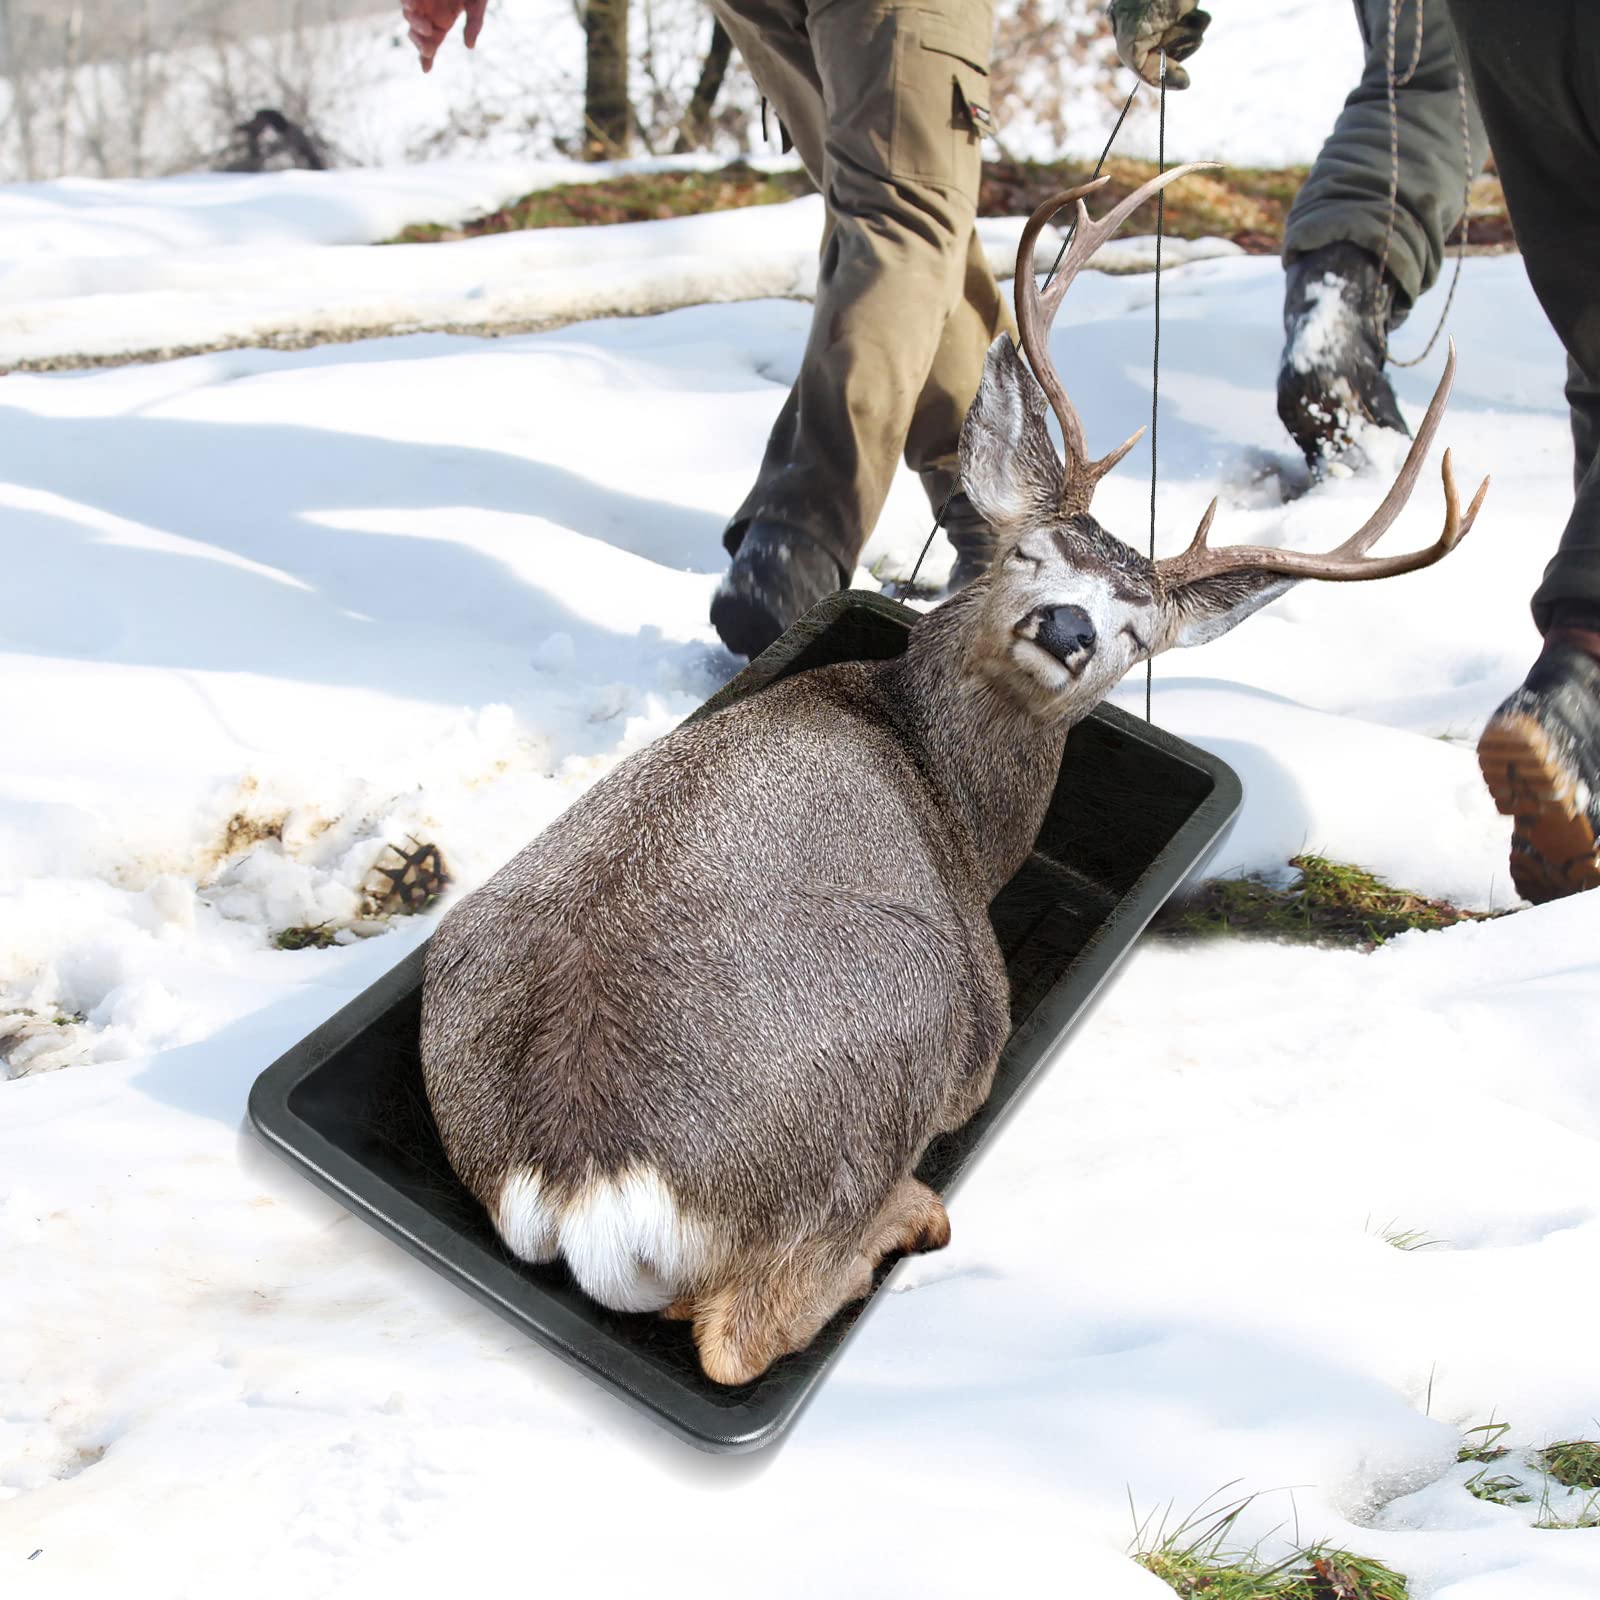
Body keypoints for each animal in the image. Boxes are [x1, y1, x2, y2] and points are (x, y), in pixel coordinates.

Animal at [419, 164, 1488, 1387]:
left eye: (1140, 637)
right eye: (1027, 552)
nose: (1069, 626)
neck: (953, 800)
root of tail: (573, 1178)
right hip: (910, 1041)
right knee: (742, 1335)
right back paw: (914, 1215)